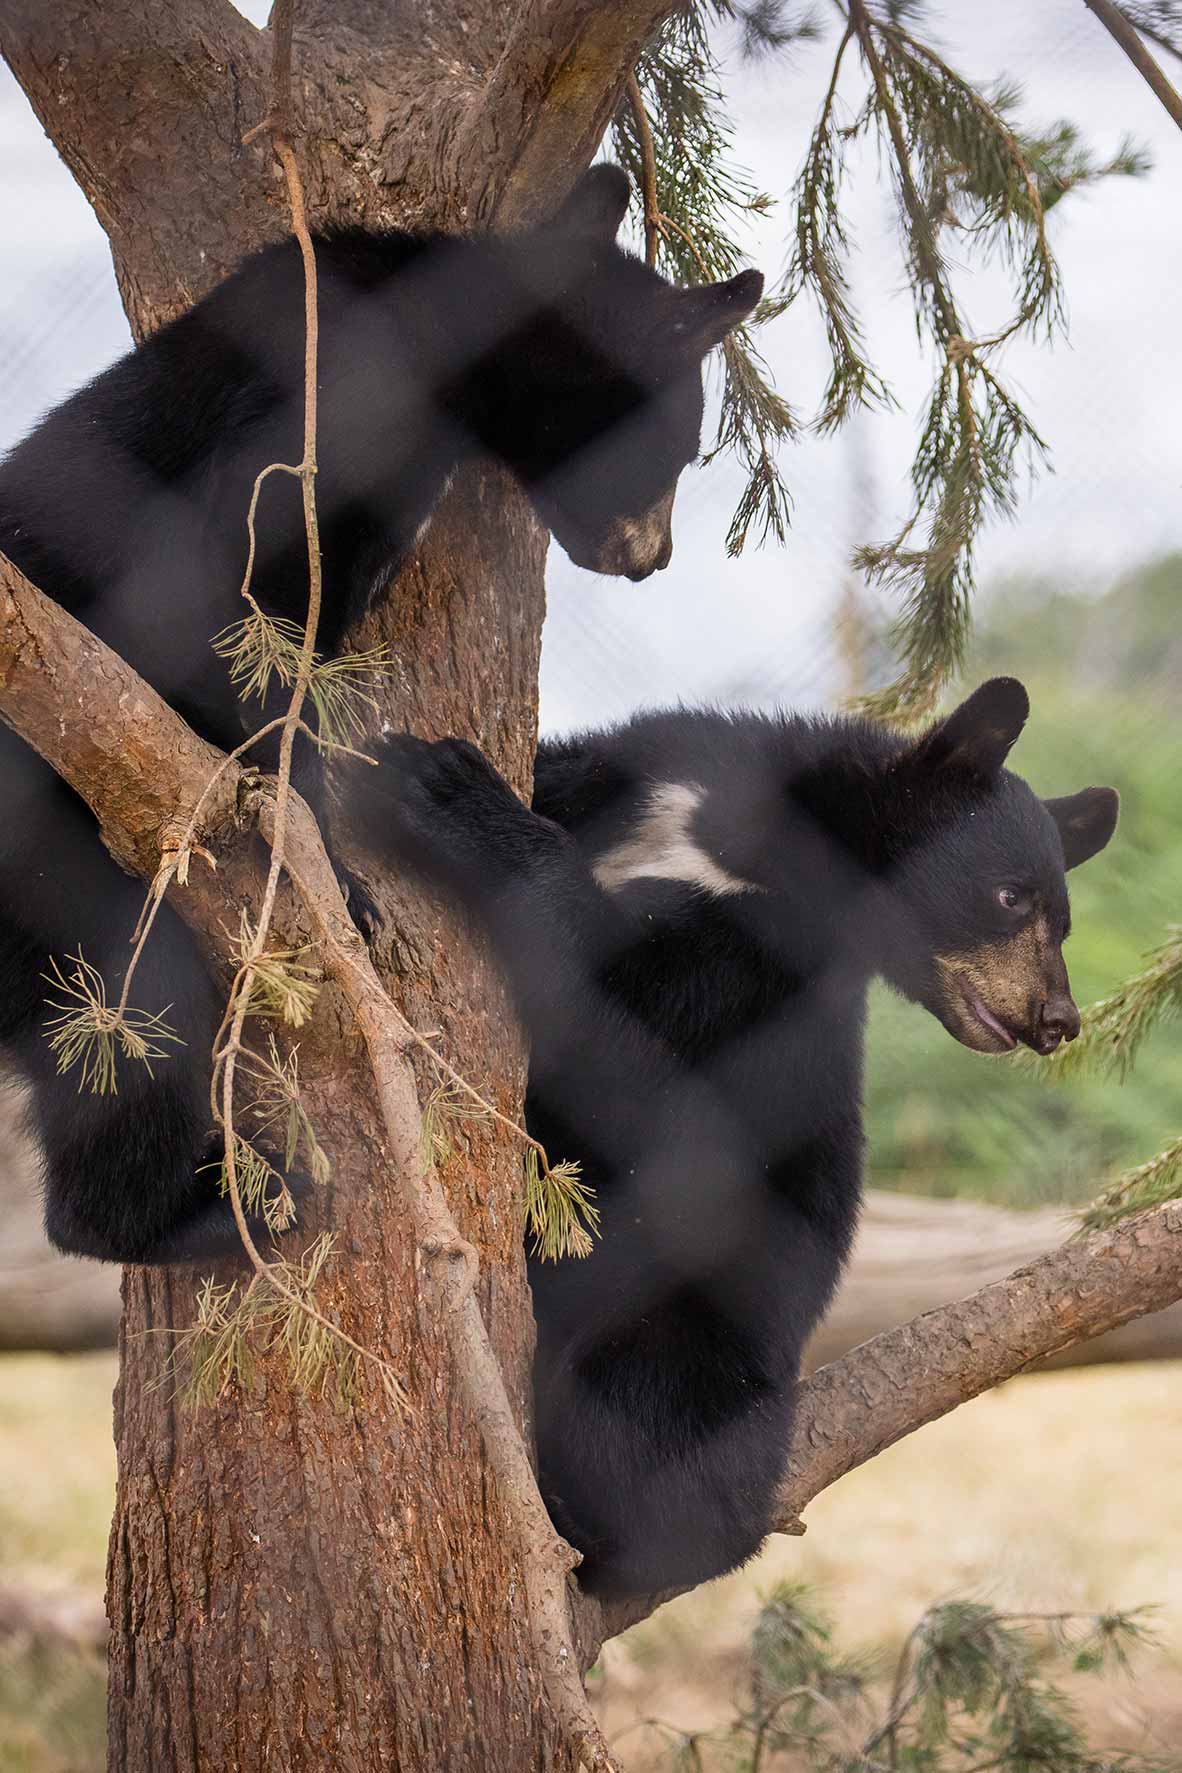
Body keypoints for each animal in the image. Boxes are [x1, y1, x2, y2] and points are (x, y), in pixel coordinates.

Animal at [0, 166, 762, 1269]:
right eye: (686, 449)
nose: (650, 560)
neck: (441, 338)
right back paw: (224, 1202)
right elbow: (242, 617)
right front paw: (338, 878)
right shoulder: (328, 404)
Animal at [347, 673, 1127, 1595]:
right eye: (1013, 896)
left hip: (691, 1326)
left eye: (1062, 922)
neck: (752, 844)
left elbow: (639, 1049)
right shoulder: (640, 765)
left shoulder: (760, 975)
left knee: (660, 1435)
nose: (1059, 1020)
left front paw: (452, 795)